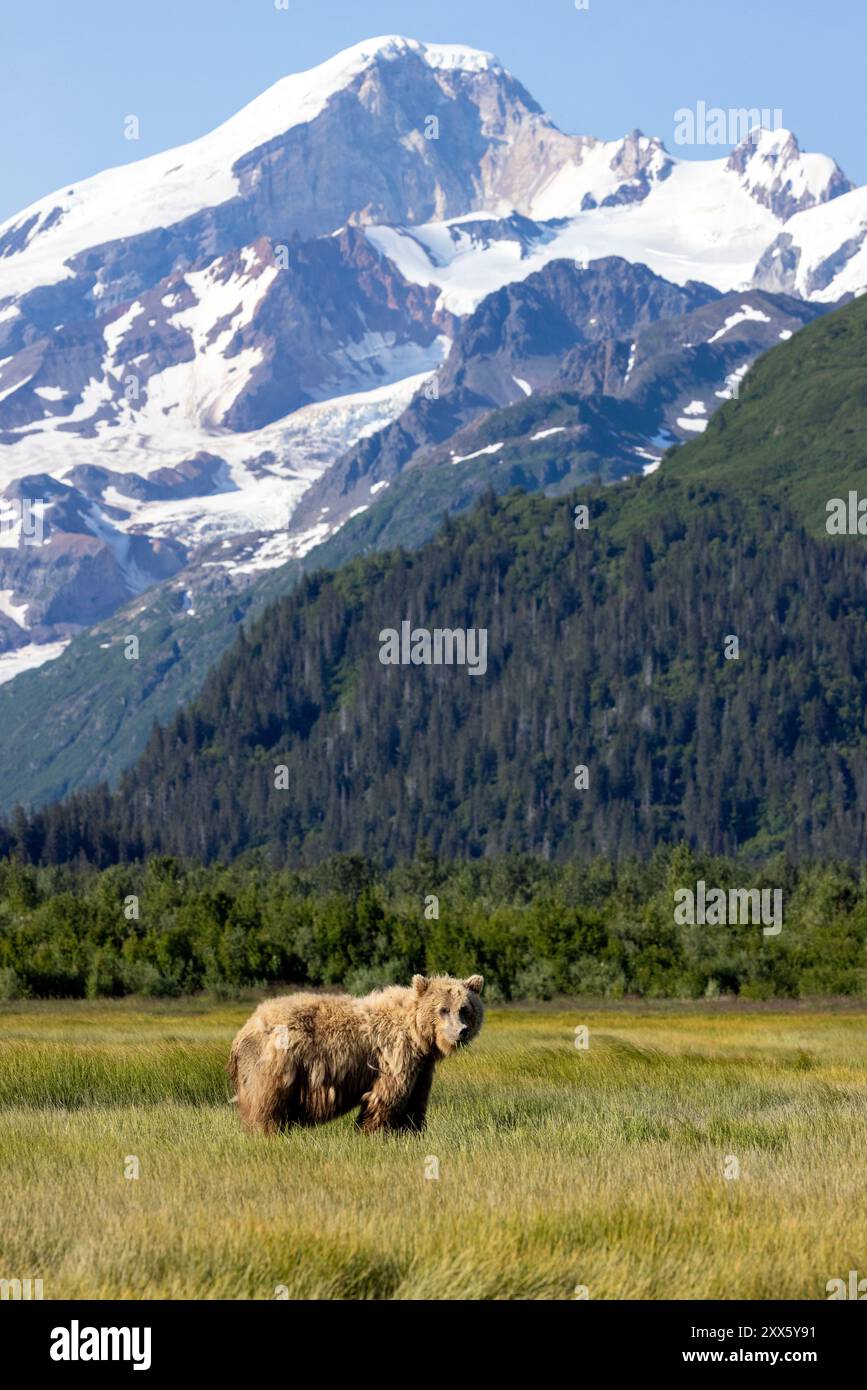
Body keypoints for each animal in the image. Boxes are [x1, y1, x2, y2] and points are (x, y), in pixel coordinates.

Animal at [227, 973, 484, 1134]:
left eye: (465, 1009)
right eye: (443, 1009)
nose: (461, 1031)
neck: (418, 1035)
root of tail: (244, 1030)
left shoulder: (422, 1065)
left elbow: (416, 1100)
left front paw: (413, 1130)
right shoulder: (394, 1055)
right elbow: (387, 1097)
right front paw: (374, 1131)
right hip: (277, 1063)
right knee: (266, 1102)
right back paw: (265, 1131)